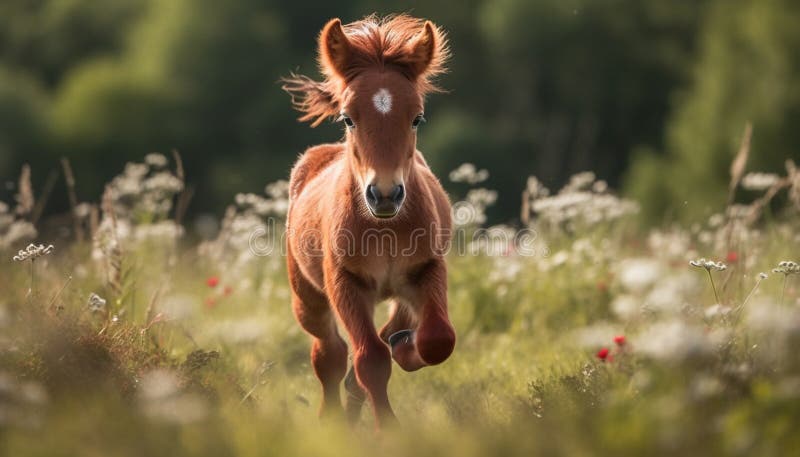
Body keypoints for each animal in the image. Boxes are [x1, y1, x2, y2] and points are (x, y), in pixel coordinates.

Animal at [281, 15, 455, 428]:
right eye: (348, 118)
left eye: (417, 118)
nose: (386, 194)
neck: (385, 229)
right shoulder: (346, 281)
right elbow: (370, 360)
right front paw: (387, 429)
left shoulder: (427, 269)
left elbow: (437, 339)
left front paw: (406, 345)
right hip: (307, 296)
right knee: (328, 354)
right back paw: (331, 420)